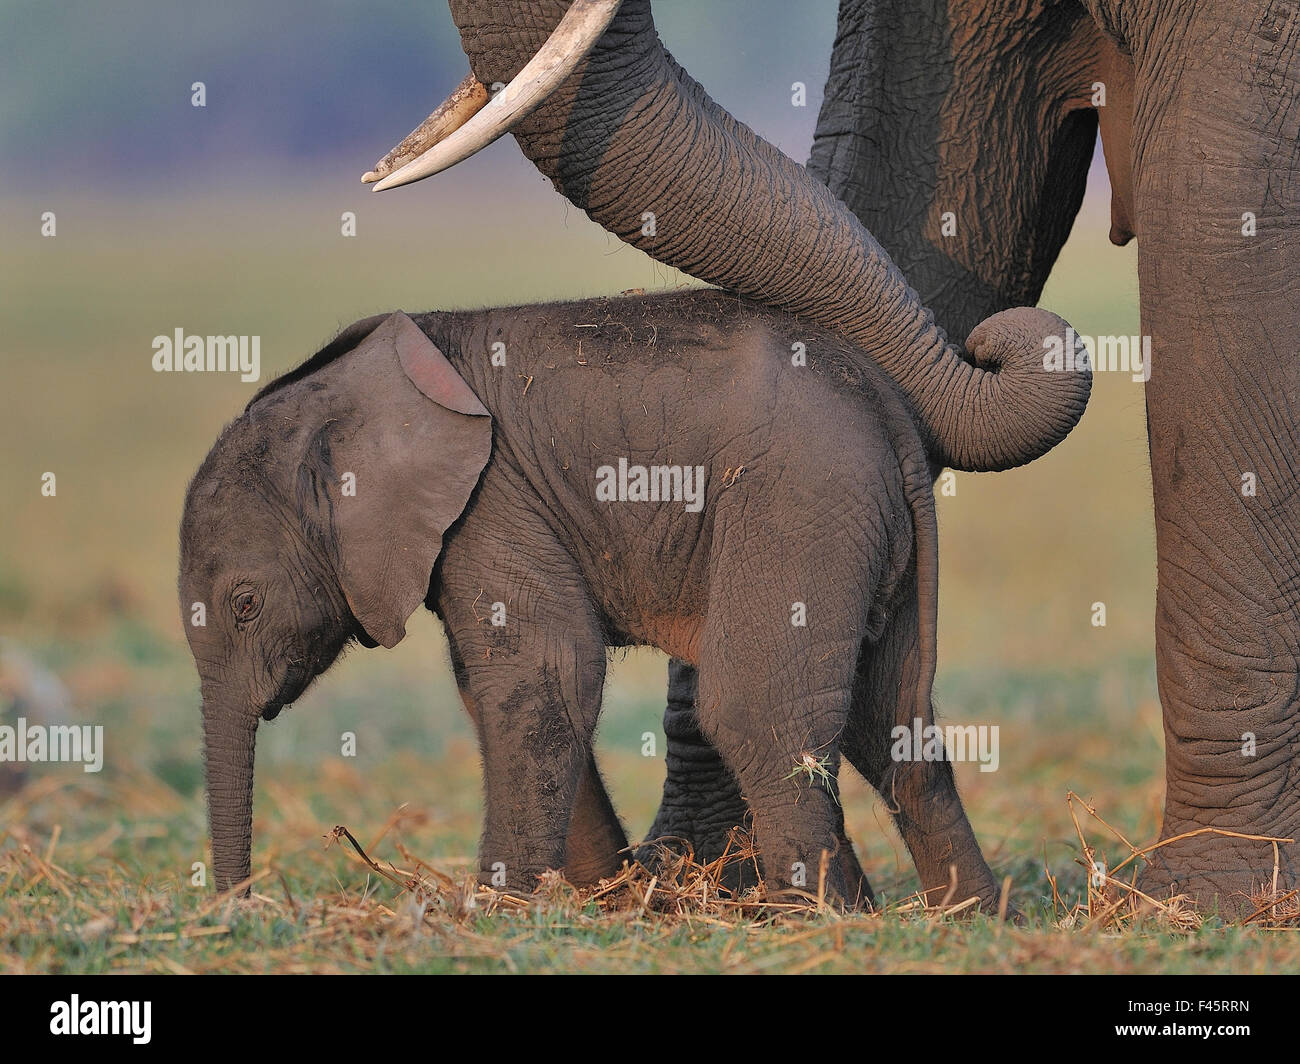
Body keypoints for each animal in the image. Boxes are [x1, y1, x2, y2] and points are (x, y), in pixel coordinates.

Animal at [181, 293, 1087, 903]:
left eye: (245, 605)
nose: (241, 906)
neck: (335, 404)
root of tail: (892, 409)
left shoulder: (490, 500)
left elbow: (543, 675)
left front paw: (492, 913)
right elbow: (507, 690)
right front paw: (603, 902)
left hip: (800, 503)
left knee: (759, 709)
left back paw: (827, 920)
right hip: (862, 526)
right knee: (891, 720)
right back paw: (968, 921)